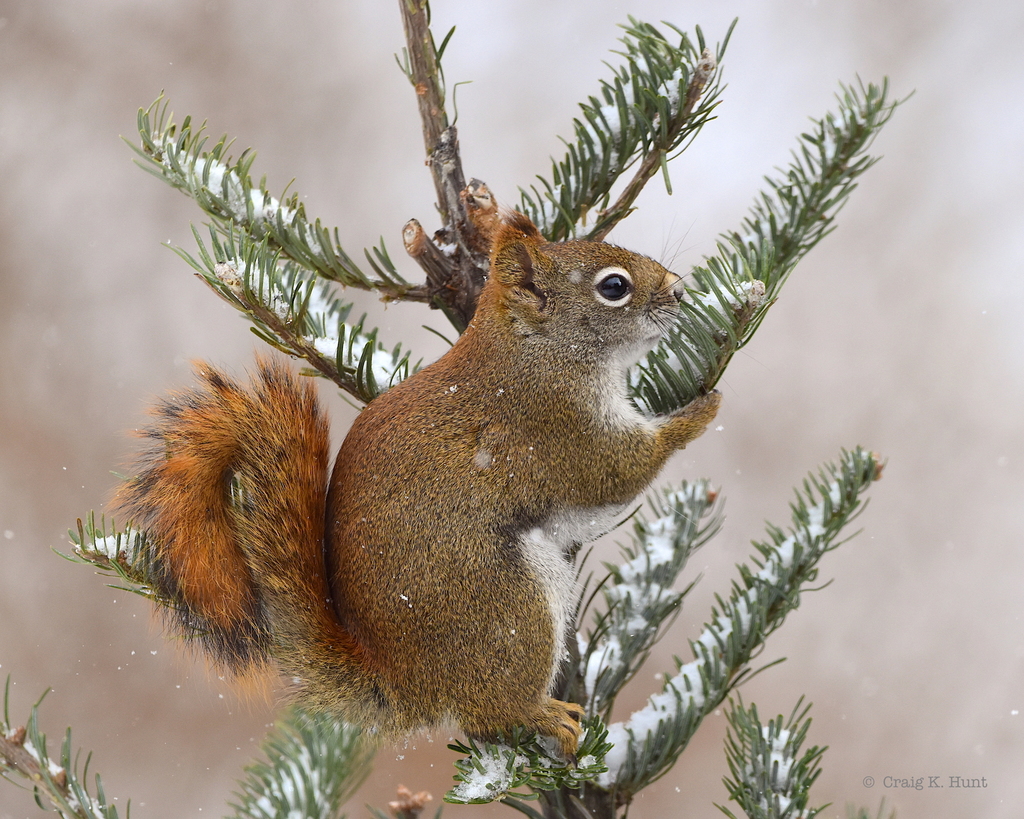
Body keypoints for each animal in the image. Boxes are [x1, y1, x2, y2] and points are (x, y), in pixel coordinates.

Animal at [113, 212, 720, 760]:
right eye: (614, 286)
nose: (681, 290)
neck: (534, 349)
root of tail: (404, 682)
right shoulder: (558, 427)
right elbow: (619, 471)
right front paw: (697, 415)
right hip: (507, 602)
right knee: (488, 711)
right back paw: (543, 714)